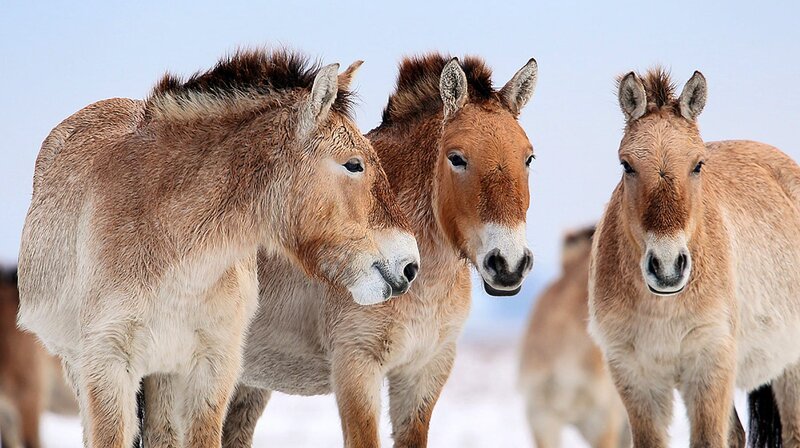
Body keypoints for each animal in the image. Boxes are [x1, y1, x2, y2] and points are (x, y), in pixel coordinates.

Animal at [588, 67, 800, 447]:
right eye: (627, 165)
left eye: (698, 164)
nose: (667, 267)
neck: (662, 309)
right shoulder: (636, 378)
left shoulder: (710, 367)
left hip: (791, 367)